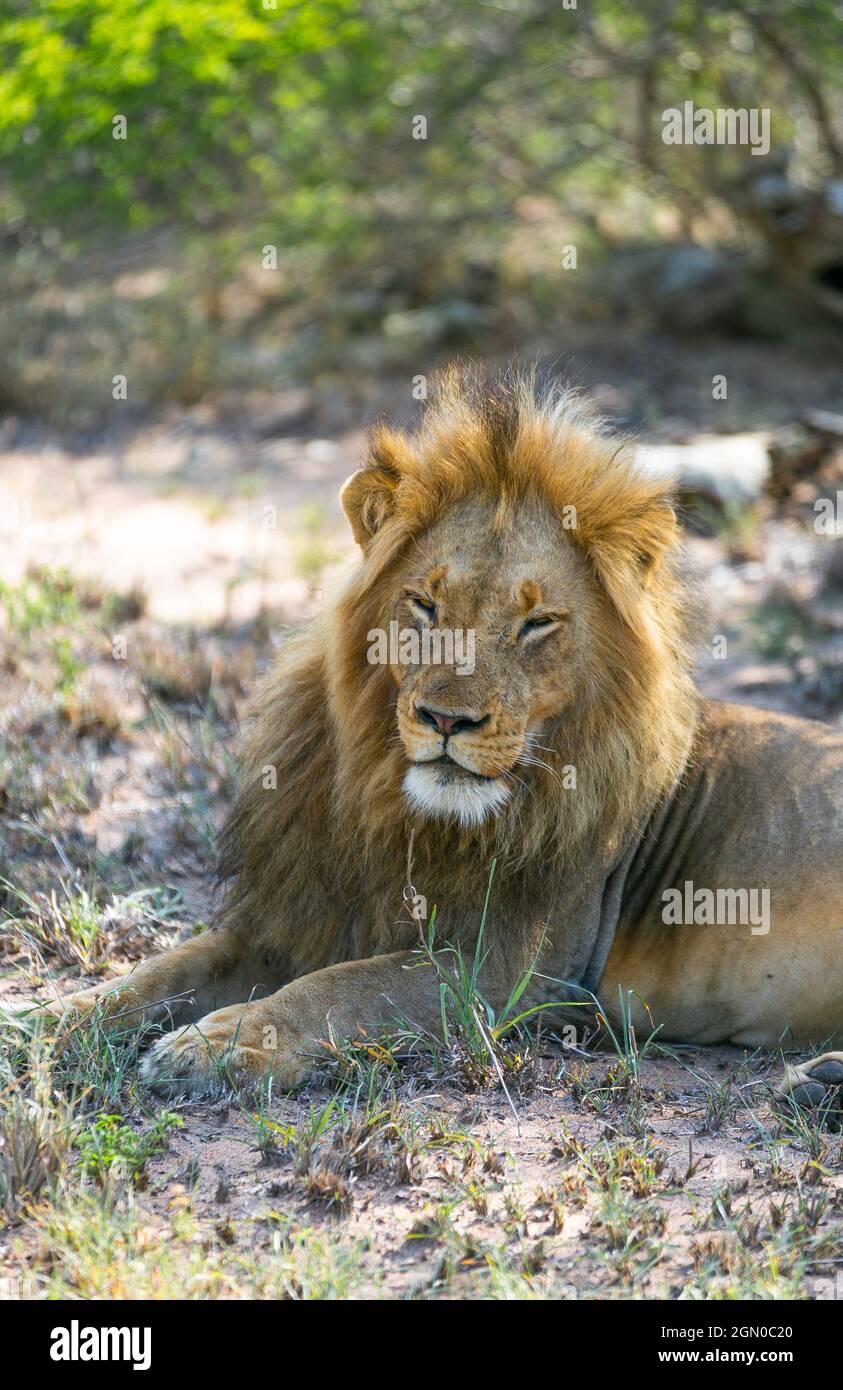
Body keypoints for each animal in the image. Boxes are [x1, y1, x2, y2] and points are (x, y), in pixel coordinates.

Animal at [28, 368, 843, 1110]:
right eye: (423, 603)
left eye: (537, 623)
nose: (448, 721)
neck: (404, 815)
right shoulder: (303, 916)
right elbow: (159, 971)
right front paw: (48, 1019)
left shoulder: (511, 973)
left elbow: (341, 989)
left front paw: (218, 1044)